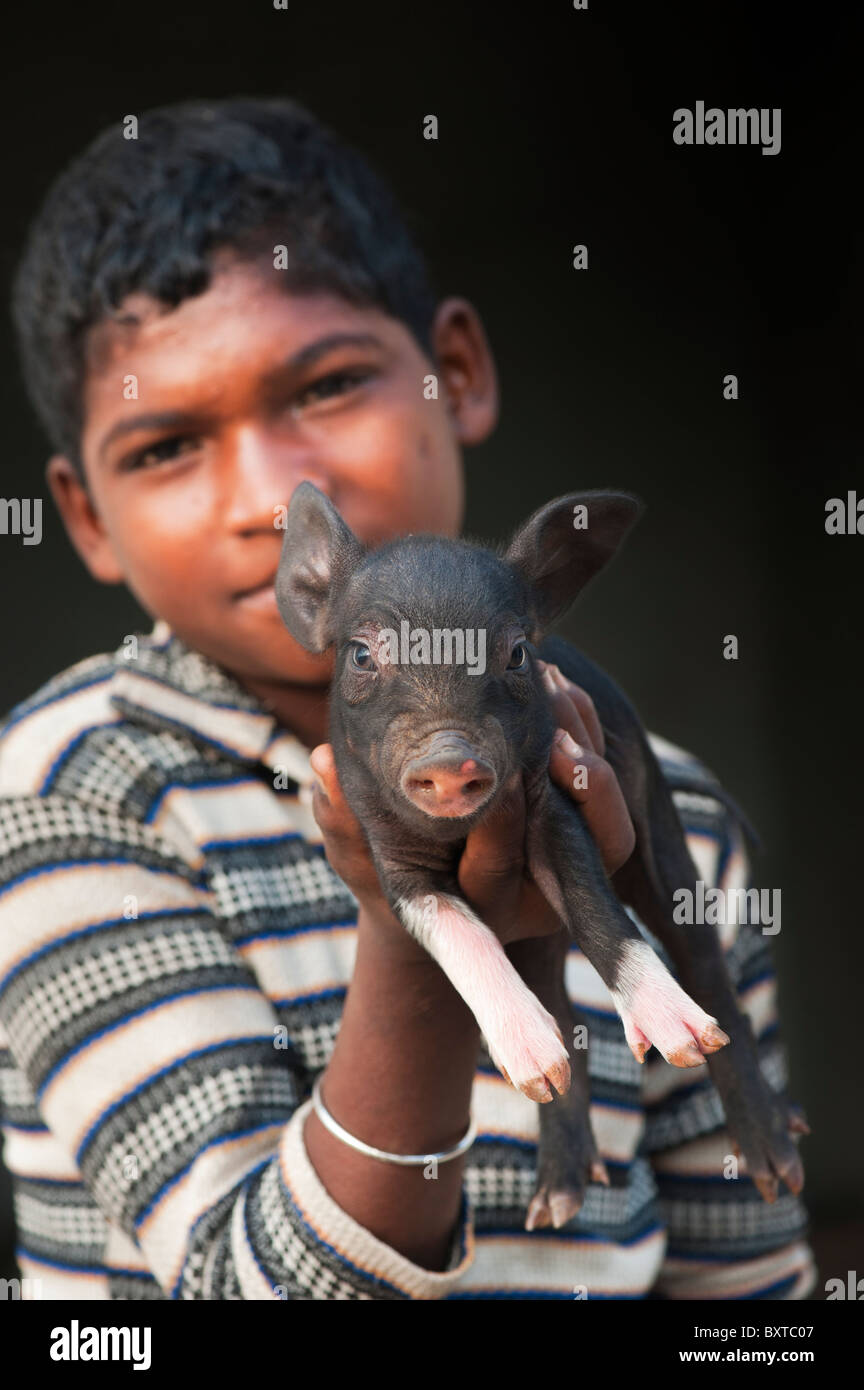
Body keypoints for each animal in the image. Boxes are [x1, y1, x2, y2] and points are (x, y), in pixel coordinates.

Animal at [275, 482, 806, 1229]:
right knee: (567, 1009)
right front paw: (533, 1067)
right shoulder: (392, 864)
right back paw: (557, 1199)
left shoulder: (556, 801)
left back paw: (770, 1157)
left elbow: (597, 908)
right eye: (361, 656)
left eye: (517, 654)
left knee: (707, 967)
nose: (449, 762)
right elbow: (461, 934)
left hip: (657, 825)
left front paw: (677, 1038)